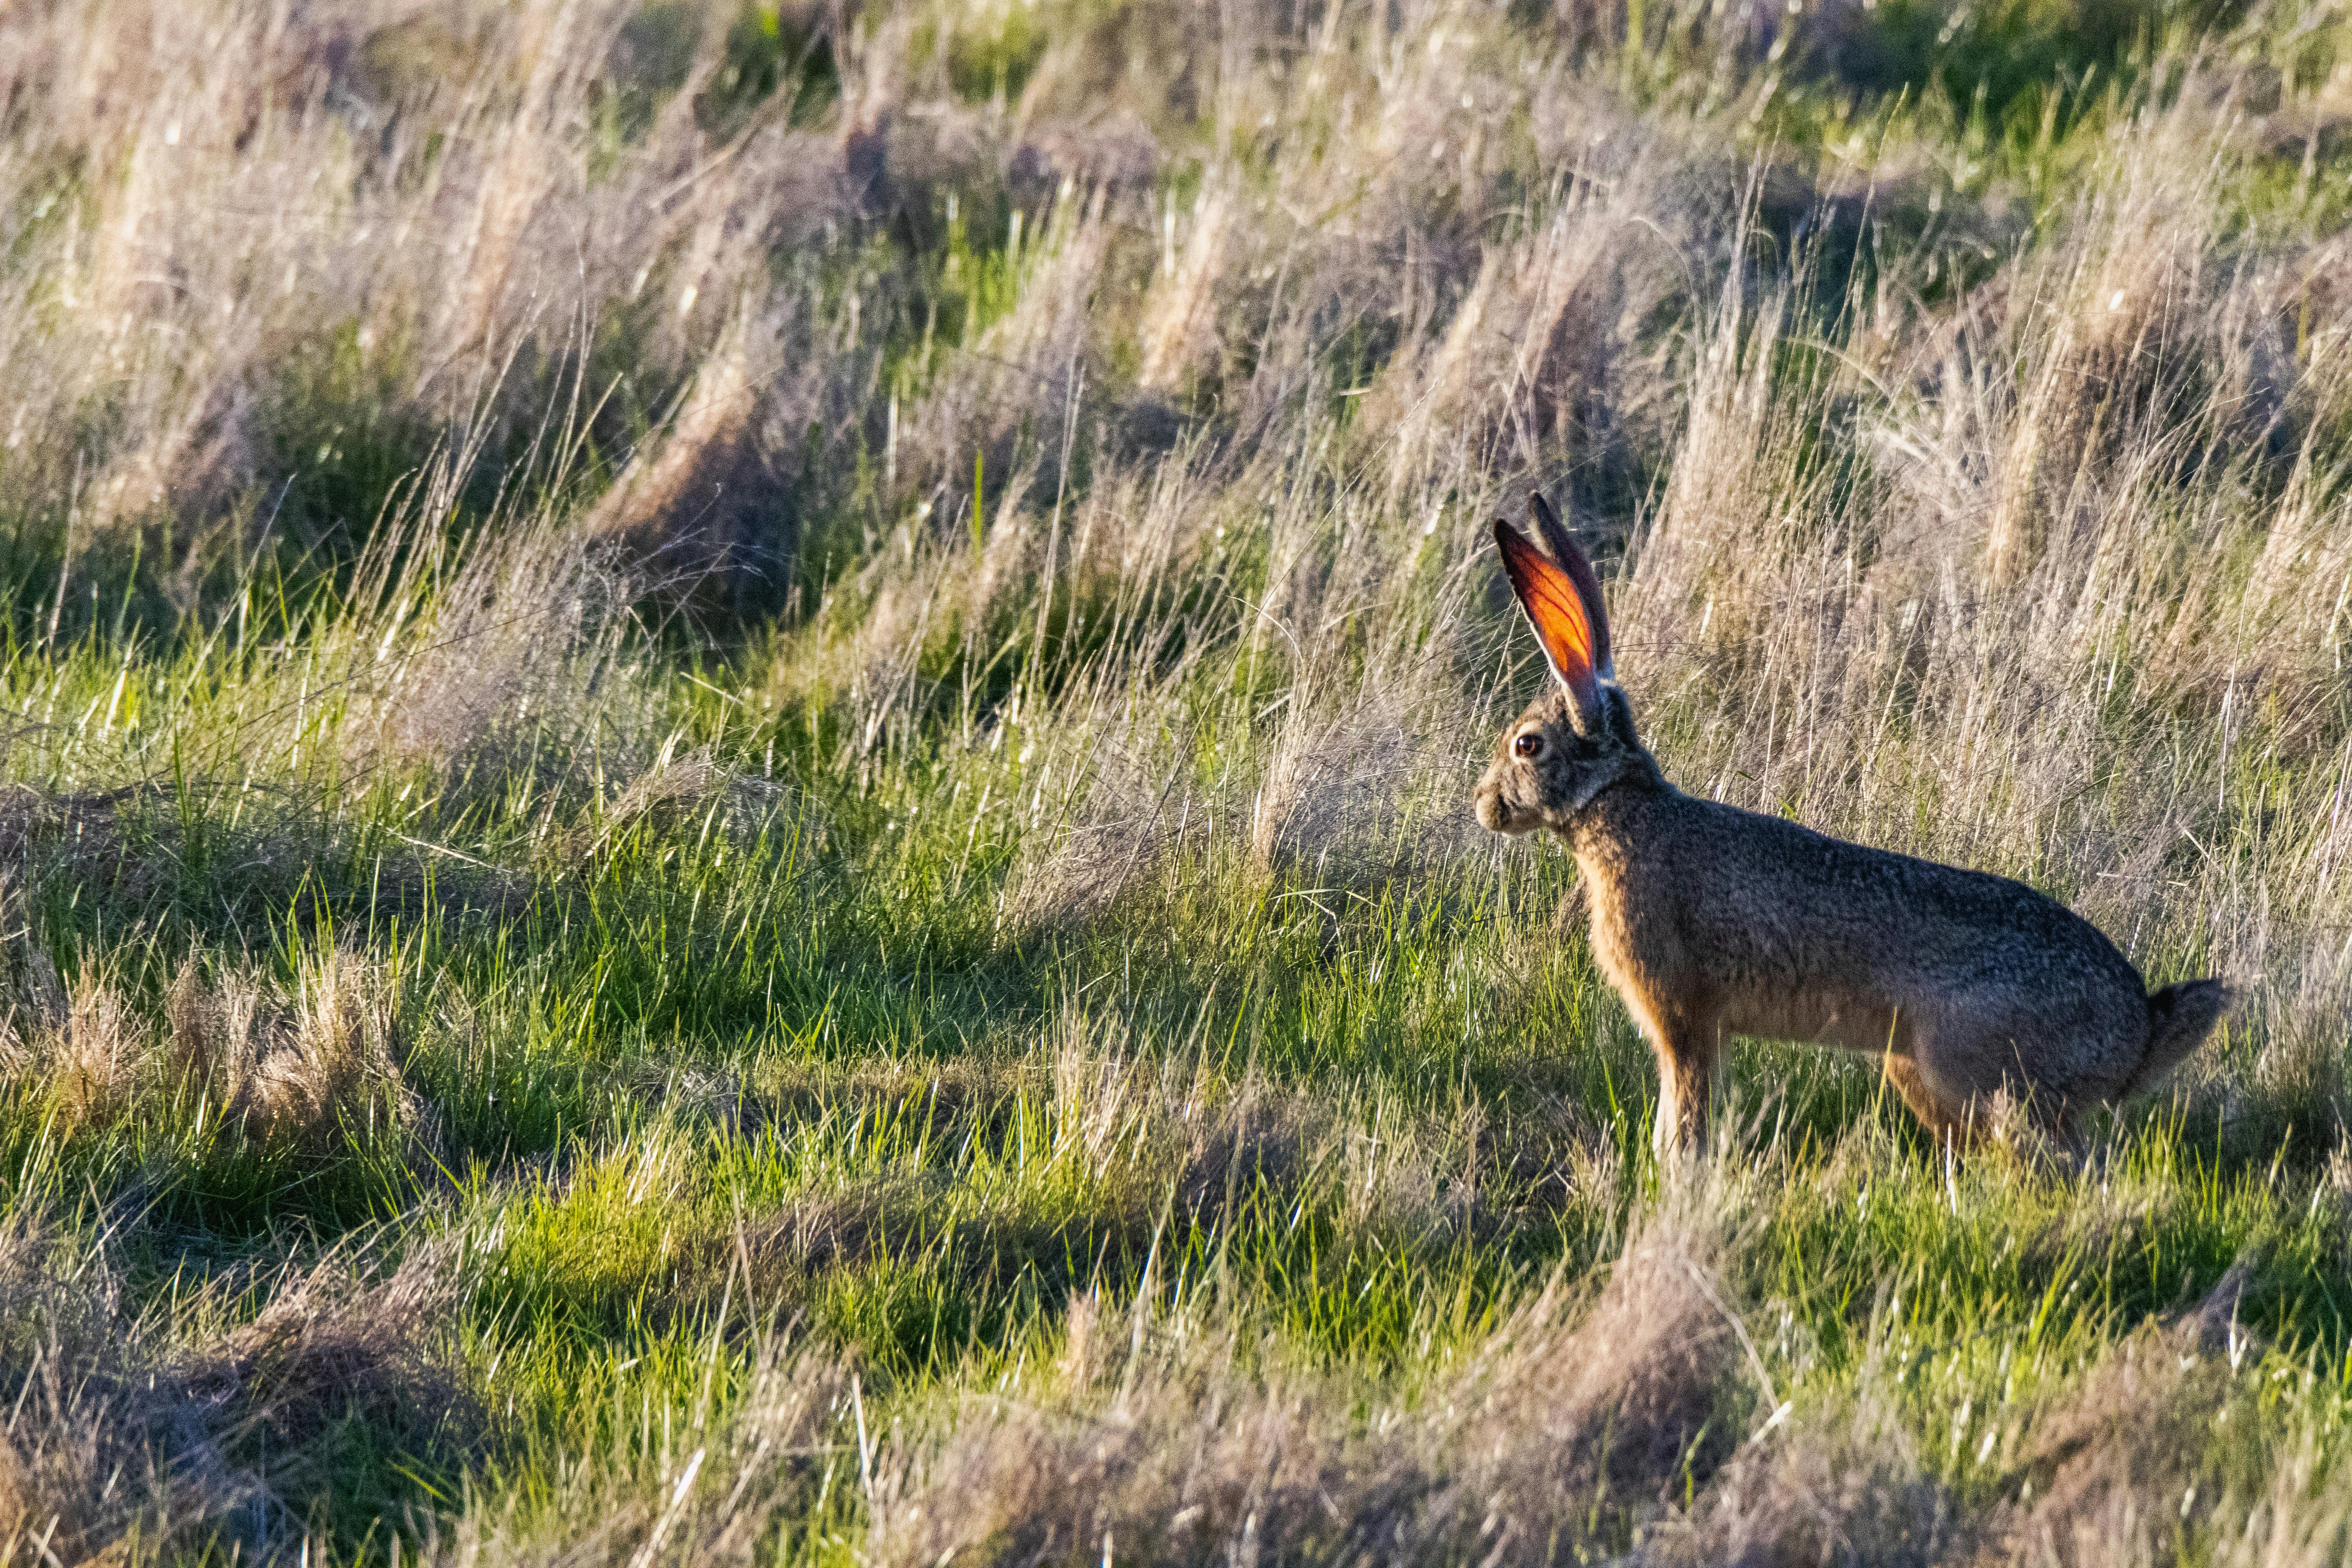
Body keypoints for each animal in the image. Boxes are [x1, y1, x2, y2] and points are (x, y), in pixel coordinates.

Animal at [1474, 495, 2232, 1156]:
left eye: (1527, 746)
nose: (1485, 806)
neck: (1619, 809)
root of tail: (2136, 1036)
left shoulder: (1684, 1020)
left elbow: (1683, 1113)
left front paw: (1676, 1175)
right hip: (1920, 1072)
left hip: (1974, 1072)